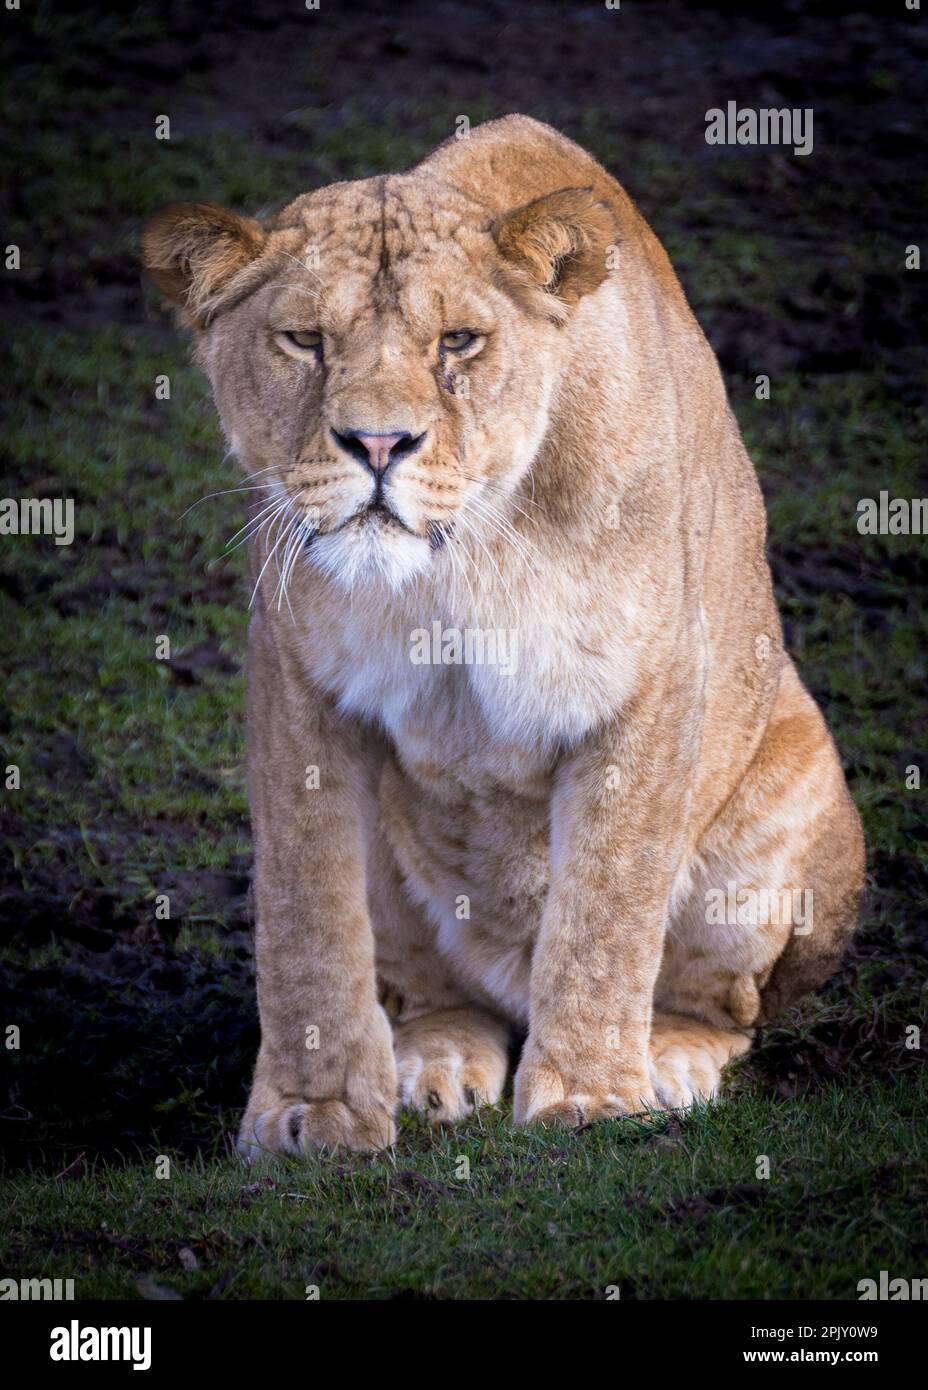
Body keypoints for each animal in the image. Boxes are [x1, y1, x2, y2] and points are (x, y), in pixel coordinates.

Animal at [142, 115, 865, 1154]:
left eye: (459, 342)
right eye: (306, 341)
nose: (377, 443)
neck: (463, 557)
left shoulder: (651, 688)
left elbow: (606, 907)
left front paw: (592, 1101)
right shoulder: (297, 687)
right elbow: (306, 919)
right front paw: (311, 1115)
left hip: (789, 797)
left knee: (726, 1004)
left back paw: (669, 1060)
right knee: (431, 991)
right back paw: (435, 1064)